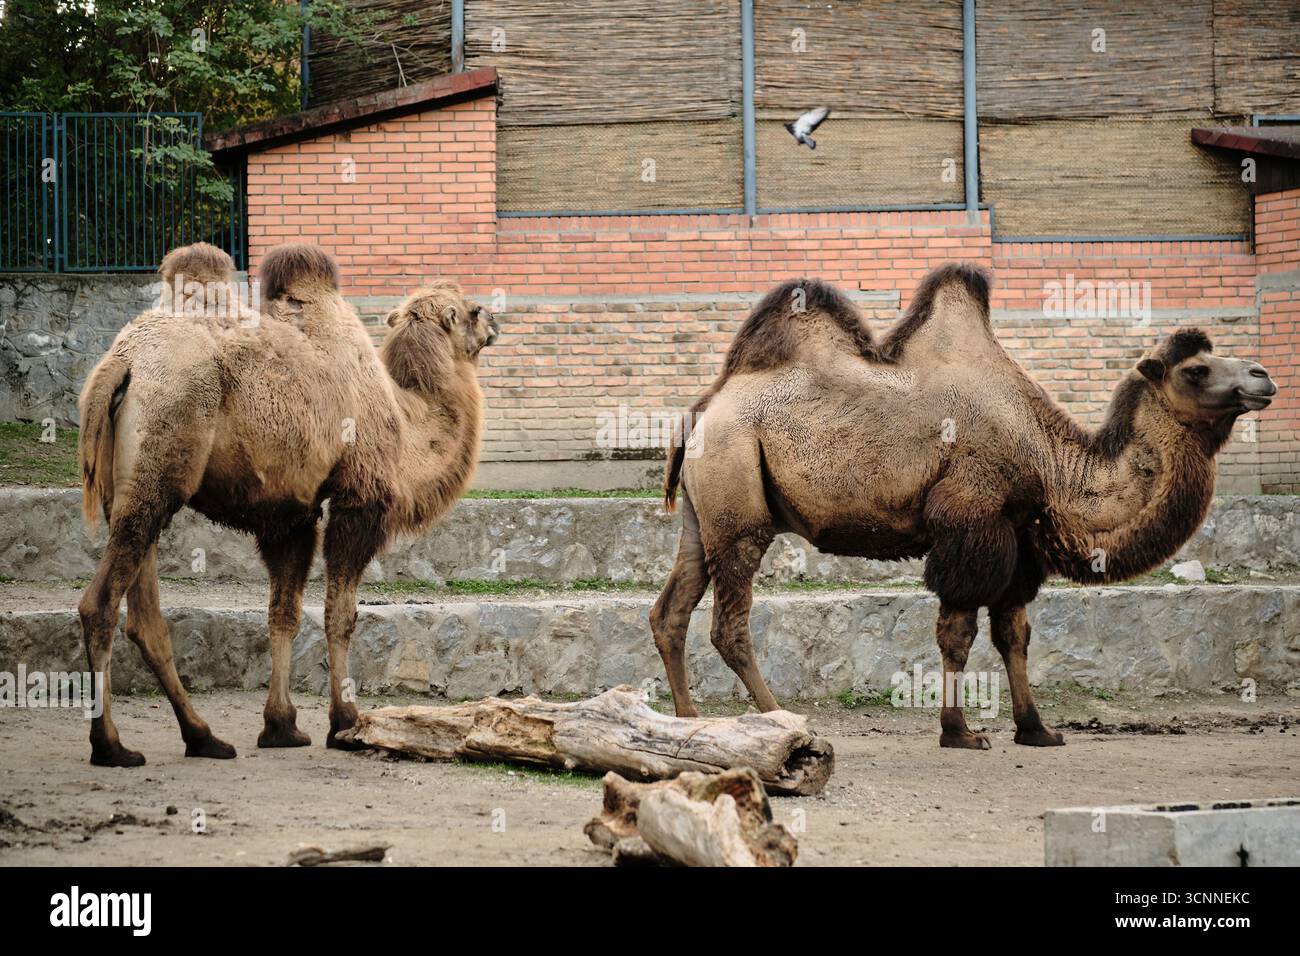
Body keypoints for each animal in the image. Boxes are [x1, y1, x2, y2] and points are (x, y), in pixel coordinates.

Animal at [76, 242, 497, 766]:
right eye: (473, 311)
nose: (494, 322)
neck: (406, 423)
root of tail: (123, 361)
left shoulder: (290, 513)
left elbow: (284, 613)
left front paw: (281, 725)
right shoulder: (358, 499)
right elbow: (341, 614)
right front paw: (344, 722)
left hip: (129, 489)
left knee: (145, 617)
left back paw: (203, 736)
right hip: (163, 449)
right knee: (100, 604)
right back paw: (111, 745)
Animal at [653, 263, 1276, 748]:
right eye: (1195, 370)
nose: (1263, 375)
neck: (1045, 457)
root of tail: (700, 411)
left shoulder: (1017, 535)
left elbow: (1014, 633)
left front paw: (1037, 729)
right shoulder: (970, 521)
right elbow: (957, 632)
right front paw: (959, 731)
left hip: (701, 514)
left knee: (671, 611)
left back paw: (686, 724)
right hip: (738, 499)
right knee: (730, 623)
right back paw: (779, 717)